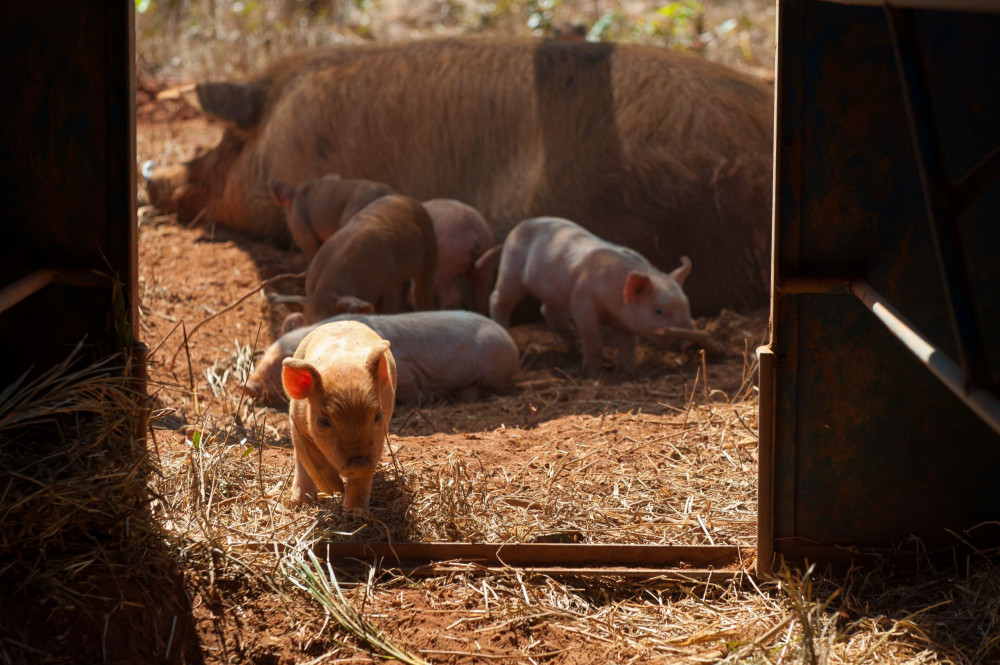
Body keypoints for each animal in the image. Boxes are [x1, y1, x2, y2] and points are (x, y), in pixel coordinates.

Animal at [245, 311, 520, 405]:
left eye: (281, 363)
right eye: (266, 354)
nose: (247, 386)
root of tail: (510, 340)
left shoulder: (406, 372)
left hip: (496, 371)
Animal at [283, 320, 396, 510]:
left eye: (377, 416)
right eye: (323, 421)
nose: (359, 464)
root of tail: (341, 321)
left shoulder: (380, 435)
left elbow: (362, 479)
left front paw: (354, 512)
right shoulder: (296, 424)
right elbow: (311, 458)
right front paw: (334, 490)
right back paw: (299, 503)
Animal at [303, 194, 437, 321]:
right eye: (308, 323)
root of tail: (405, 197)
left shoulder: (390, 285)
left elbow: (388, 309)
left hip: (430, 248)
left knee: (422, 290)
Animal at [488, 217, 693, 375]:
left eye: (686, 306)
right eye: (659, 311)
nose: (688, 341)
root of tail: (519, 226)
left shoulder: (625, 322)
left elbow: (628, 344)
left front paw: (627, 371)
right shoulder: (582, 302)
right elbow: (593, 339)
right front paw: (594, 372)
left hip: (554, 292)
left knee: (548, 312)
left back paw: (574, 350)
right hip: (510, 270)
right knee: (498, 299)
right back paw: (505, 330)